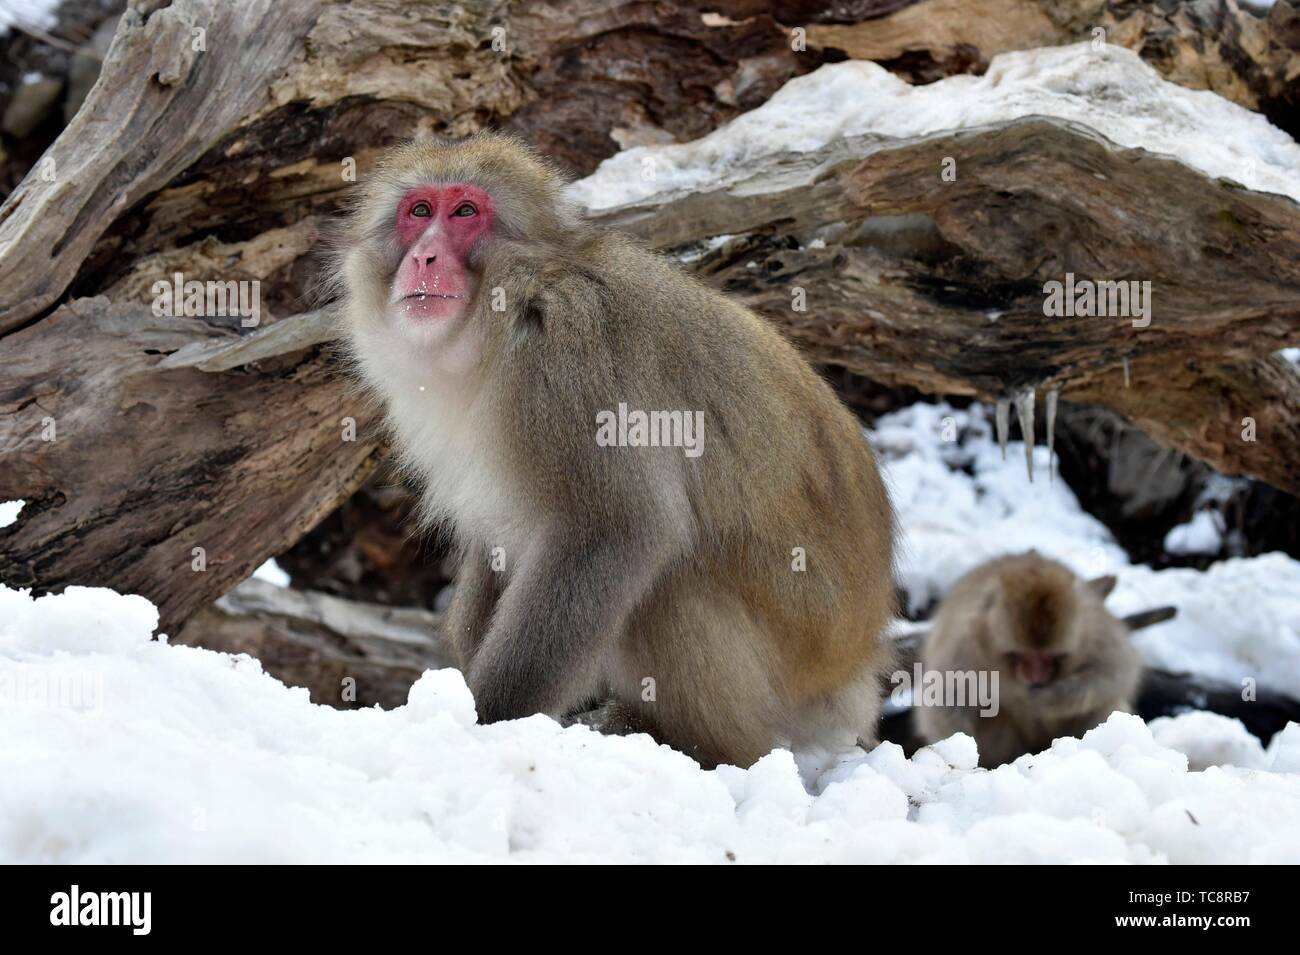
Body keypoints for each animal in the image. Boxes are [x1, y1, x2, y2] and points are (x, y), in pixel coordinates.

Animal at [333, 132, 896, 768]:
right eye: (420, 211)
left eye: (466, 212)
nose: (424, 257)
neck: (508, 311)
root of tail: (854, 670)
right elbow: (497, 540)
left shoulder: (568, 360)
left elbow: (617, 529)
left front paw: (488, 723)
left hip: (796, 662)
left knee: (670, 578)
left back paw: (695, 744)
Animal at [914, 552, 1142, 768]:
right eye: (1020, 655)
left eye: (1050, 657)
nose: (1035, 676)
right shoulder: (962, 646)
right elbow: (944, 700)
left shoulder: (1093, 629)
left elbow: (1115, 669)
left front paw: (1048, 698)